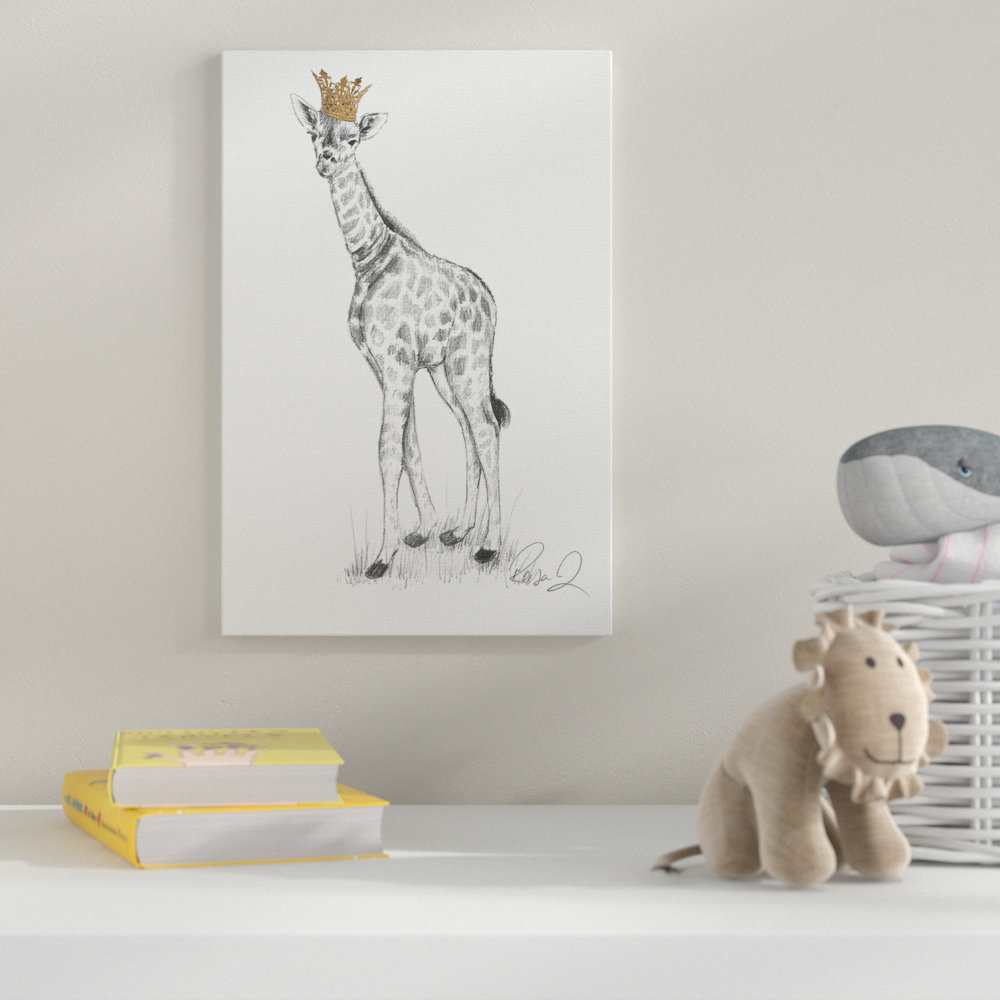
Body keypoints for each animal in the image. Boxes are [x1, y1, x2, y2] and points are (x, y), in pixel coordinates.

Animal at [291, 74, 509, 580]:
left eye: (353, 139)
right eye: (314, 133)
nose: (326, 160)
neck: (368, 261)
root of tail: (490, 301)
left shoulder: (395, 366)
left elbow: (387, 453)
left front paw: (382, 557)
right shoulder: (386, 366)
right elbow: (408, 447)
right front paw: (423, 531)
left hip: (469, 363)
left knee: (487, 429)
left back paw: (488, 546)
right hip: (444, 370)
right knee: (468, 430)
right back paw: (459, 531)